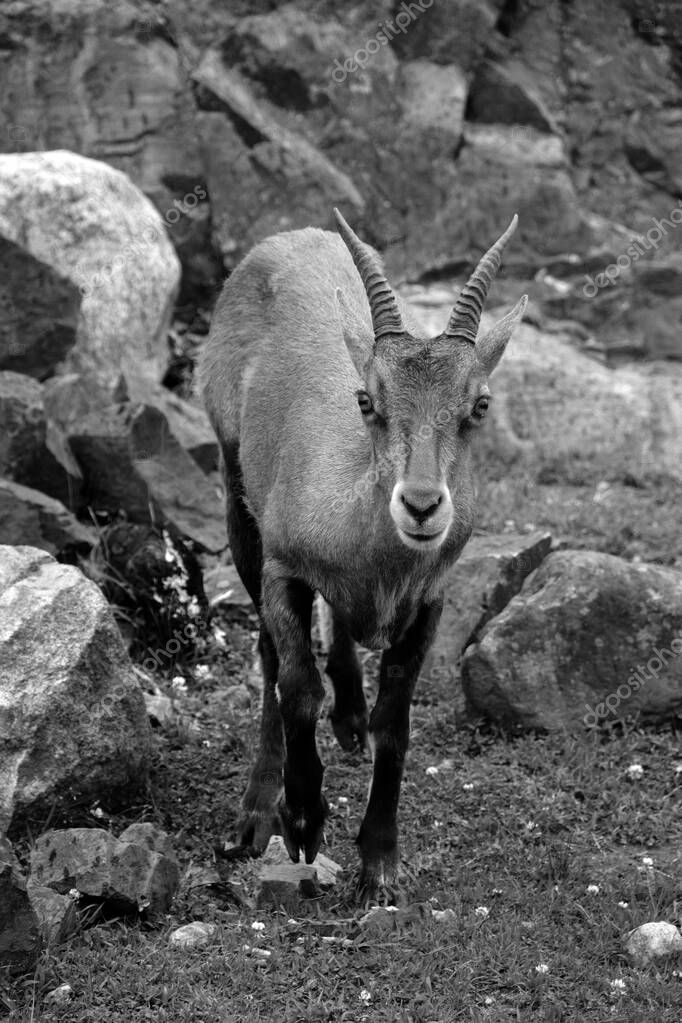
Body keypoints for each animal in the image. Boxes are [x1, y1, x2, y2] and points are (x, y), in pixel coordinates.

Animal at [199, 210, 527, 897]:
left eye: (479, 404)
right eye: (367, 401)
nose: (423, 505)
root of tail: (294, 235)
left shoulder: (429, 601)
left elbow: (395, 723)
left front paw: (379, 862)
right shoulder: (283, 570)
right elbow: (295, 684)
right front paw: (301, 818)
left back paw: (348, 714)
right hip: (235, 488)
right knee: (268, 655)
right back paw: (256, 810)